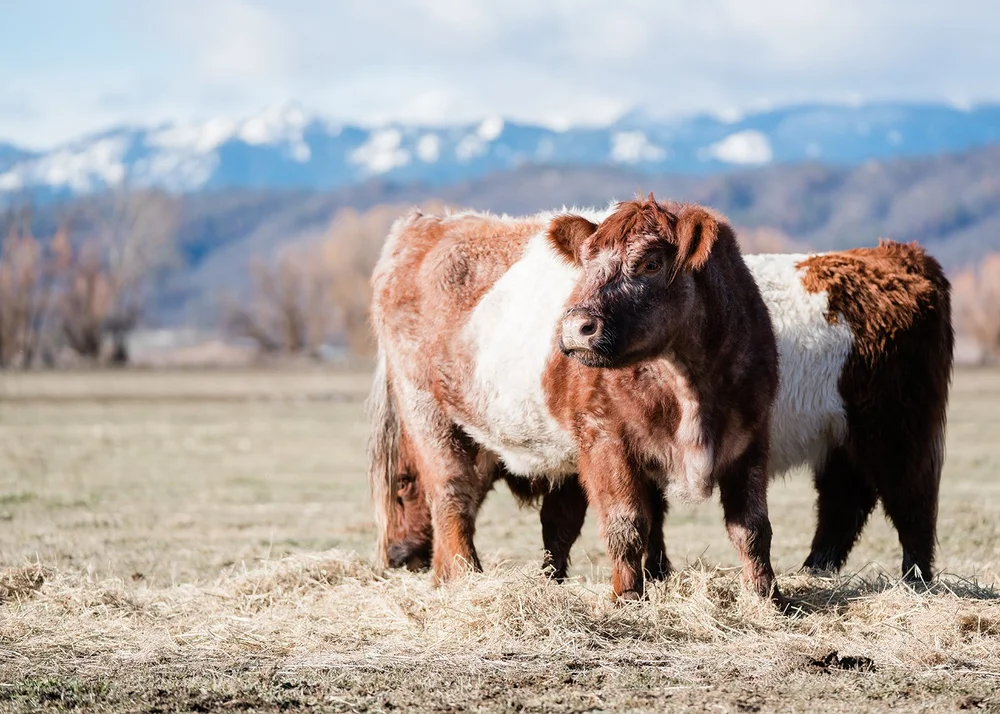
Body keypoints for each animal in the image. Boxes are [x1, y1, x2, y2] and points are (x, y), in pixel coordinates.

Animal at [369, 195, 783, 603]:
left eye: (651, 263)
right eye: (585, 263)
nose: (573, 327)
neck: (688, 383)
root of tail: (427, 222)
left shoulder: (753, 437)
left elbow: (752, 527)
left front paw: (766, 596)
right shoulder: (605, 439)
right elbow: (626, 524)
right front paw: (627, 598)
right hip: (428, 412)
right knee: (452, 494)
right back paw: (465, 578)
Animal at [376, 237, 954, 584]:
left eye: (404, 485)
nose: (399, 558)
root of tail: (899, 256)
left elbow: (573, 519)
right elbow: (623, 516)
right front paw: (647, 573)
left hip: (898, 431)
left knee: (911, 501)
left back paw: (915, 583)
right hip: (841, 442)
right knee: (844, 504)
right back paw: (814, 573)